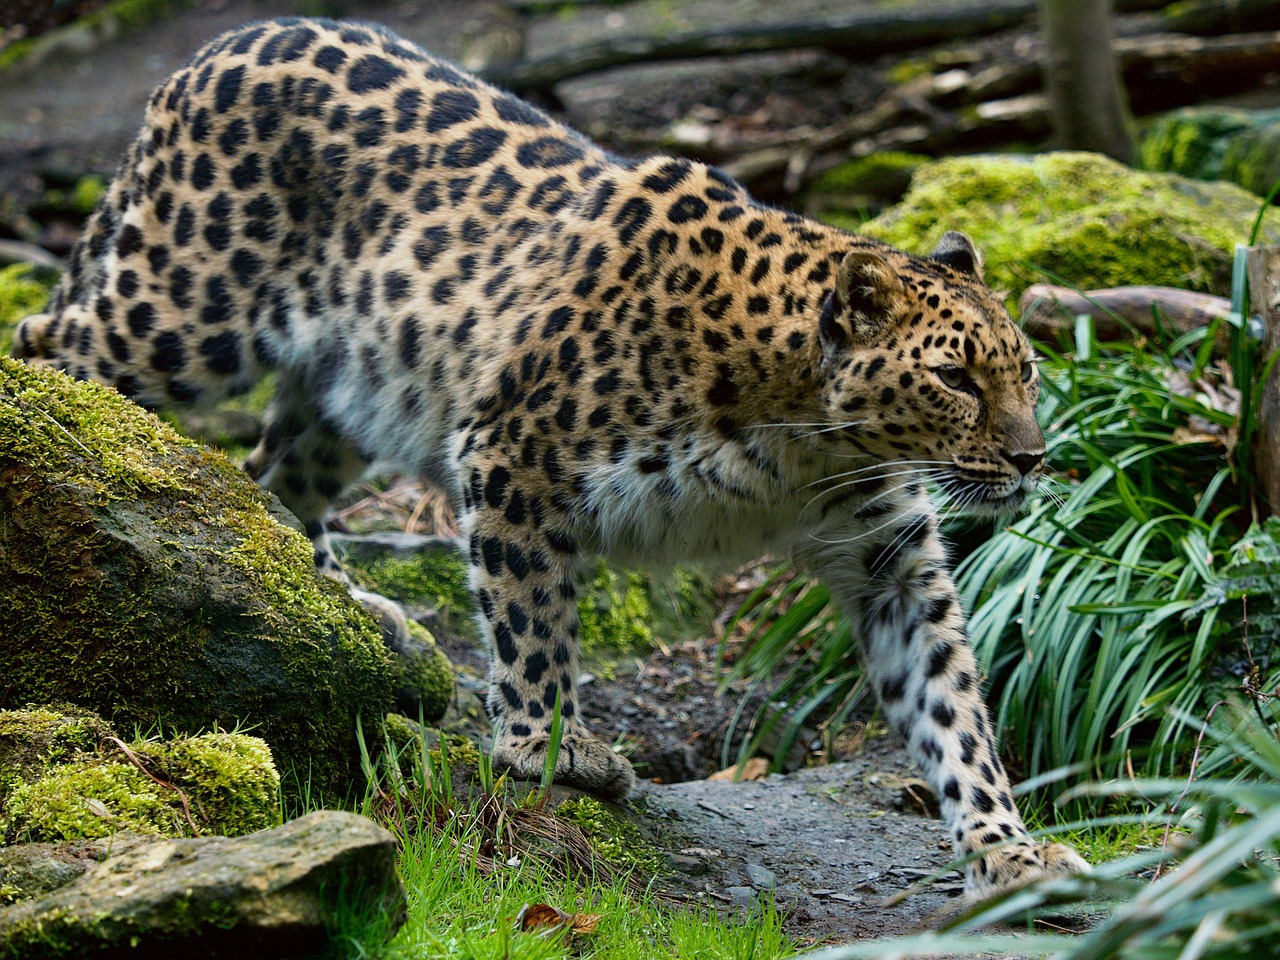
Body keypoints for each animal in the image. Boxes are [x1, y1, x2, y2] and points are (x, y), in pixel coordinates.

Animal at [12, 17, 1089, 897]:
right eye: (954, 378)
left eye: (1028, 370)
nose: (1033, 461)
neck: (803, 444)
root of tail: (214, 48)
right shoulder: (511, 452)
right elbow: (533, 620)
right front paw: (545, 748)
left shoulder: (888, 559)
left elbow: (952, 703)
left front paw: (1007, 847)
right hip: (181, 312)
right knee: (47, 341)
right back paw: (62, 437)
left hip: (348, 383)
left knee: (274, 476)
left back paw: (345, 609)